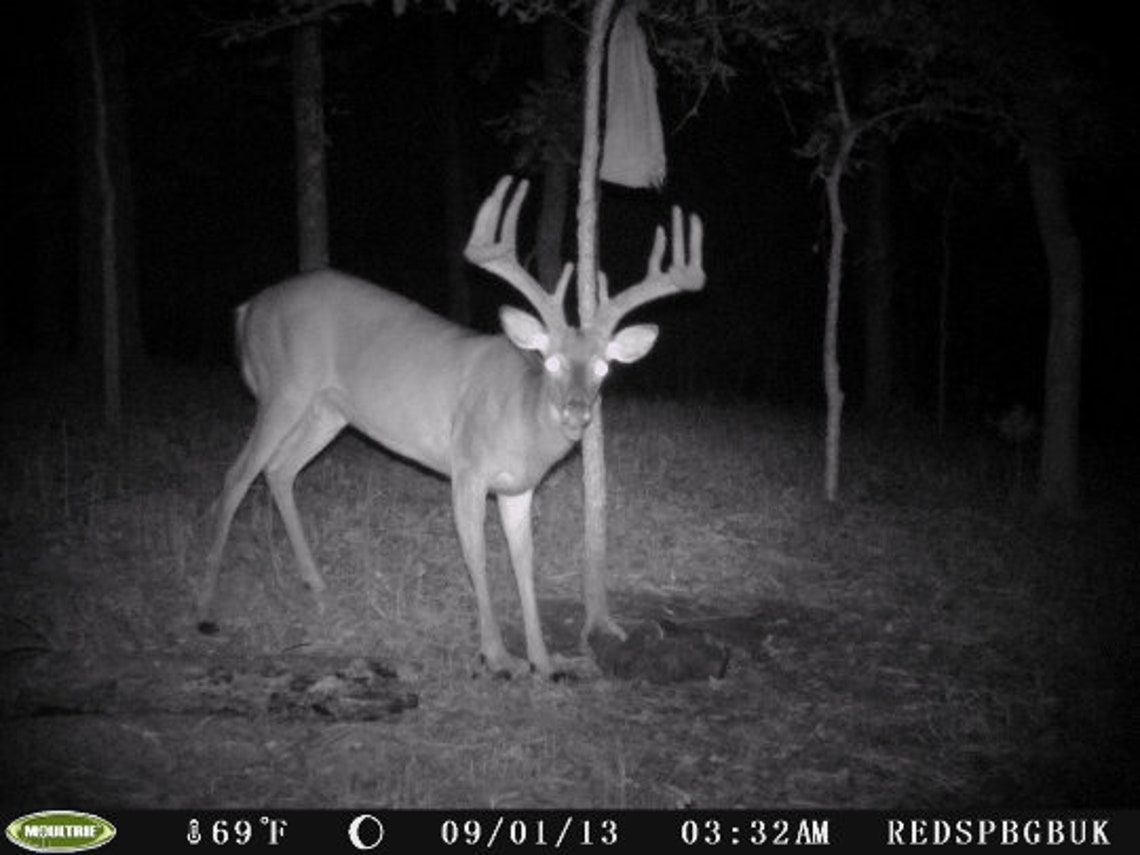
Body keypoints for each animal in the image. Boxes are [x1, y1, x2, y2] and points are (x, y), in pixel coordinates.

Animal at [198, 175, 704, 678]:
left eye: (603, 367)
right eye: (551, 360)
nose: (577, 413)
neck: (521, 418)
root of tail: (248, 308)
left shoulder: (519, 487)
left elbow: (524, 560)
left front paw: (542, 659)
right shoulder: (467, 467)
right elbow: (475, 554)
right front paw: (498, 656)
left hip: (328, 410)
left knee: (280, 470)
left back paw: (315, 582)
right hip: (283, 388)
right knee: (237, 474)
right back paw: (206, 607)